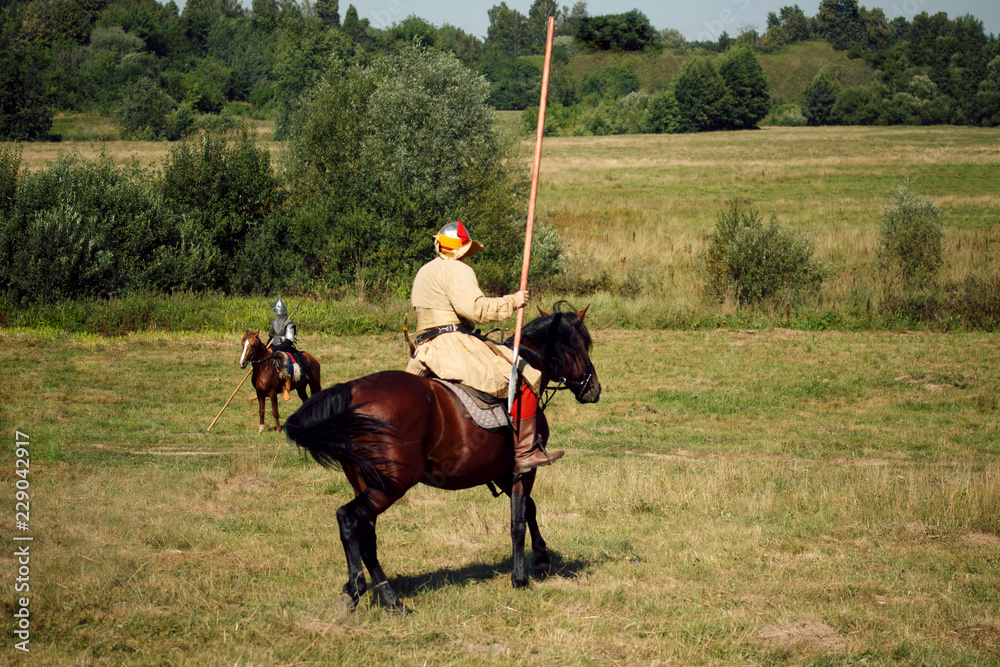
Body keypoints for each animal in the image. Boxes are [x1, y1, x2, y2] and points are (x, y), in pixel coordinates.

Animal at [283, 304, 600, 611]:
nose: (594, 389)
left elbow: (529, 510)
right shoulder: (524, 469)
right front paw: (520, 577)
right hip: (392, 484)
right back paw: (358, 589)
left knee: (367, 536)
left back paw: (389, 598)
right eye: (583, 344)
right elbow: (519, 520)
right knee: (348, 519)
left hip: (365, 482)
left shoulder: (503, 473)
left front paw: (542, 557)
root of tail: (352, 391)